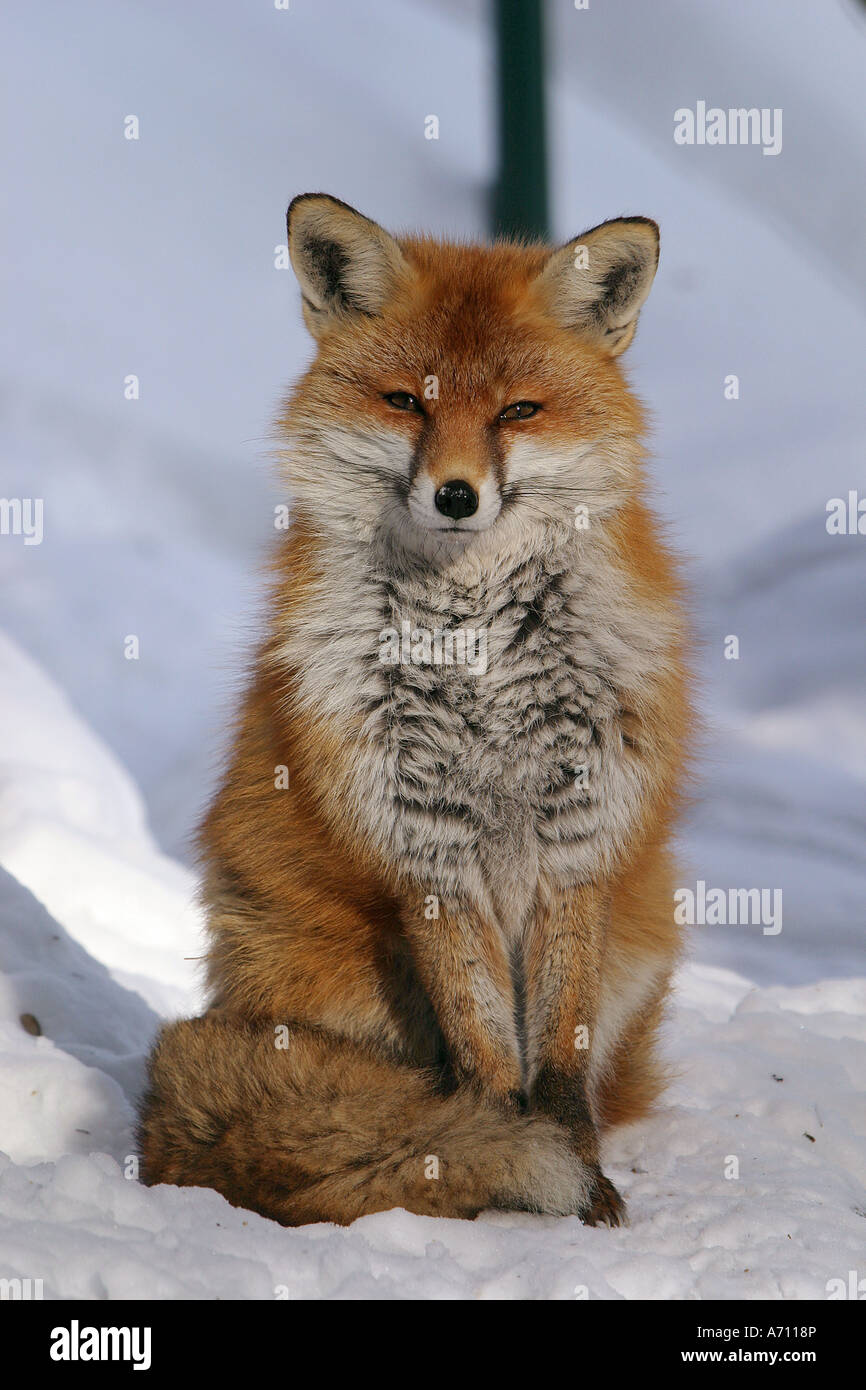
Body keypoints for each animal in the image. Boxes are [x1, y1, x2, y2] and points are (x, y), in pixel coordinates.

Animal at [137, 193, 691, 1228]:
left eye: (518, 410)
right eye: (407, 402)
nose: (458, 495)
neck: (475, 656)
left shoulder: (578, 840)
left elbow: (559, 1055)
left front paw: (579, 1172)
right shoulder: (422, 846)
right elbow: (484, 1050)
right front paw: (504, 1145)